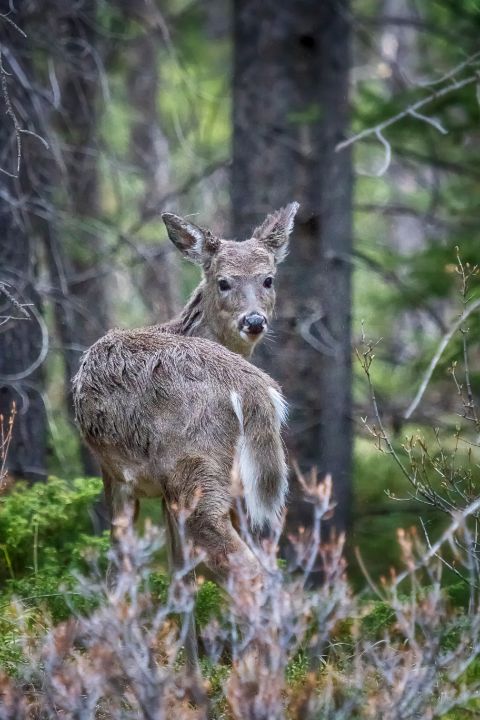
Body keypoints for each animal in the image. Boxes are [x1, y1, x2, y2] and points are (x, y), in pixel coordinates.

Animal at [72, 202, 299, 662]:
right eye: (223, 280)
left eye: (268, 278)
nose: (254, 321)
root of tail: (249, 382)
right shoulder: (163, 492)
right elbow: (181, 577)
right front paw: (188, 664)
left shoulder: (116, 473)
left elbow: (121, 566)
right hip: (228, 482)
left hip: (192, 467)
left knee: (247, 573)